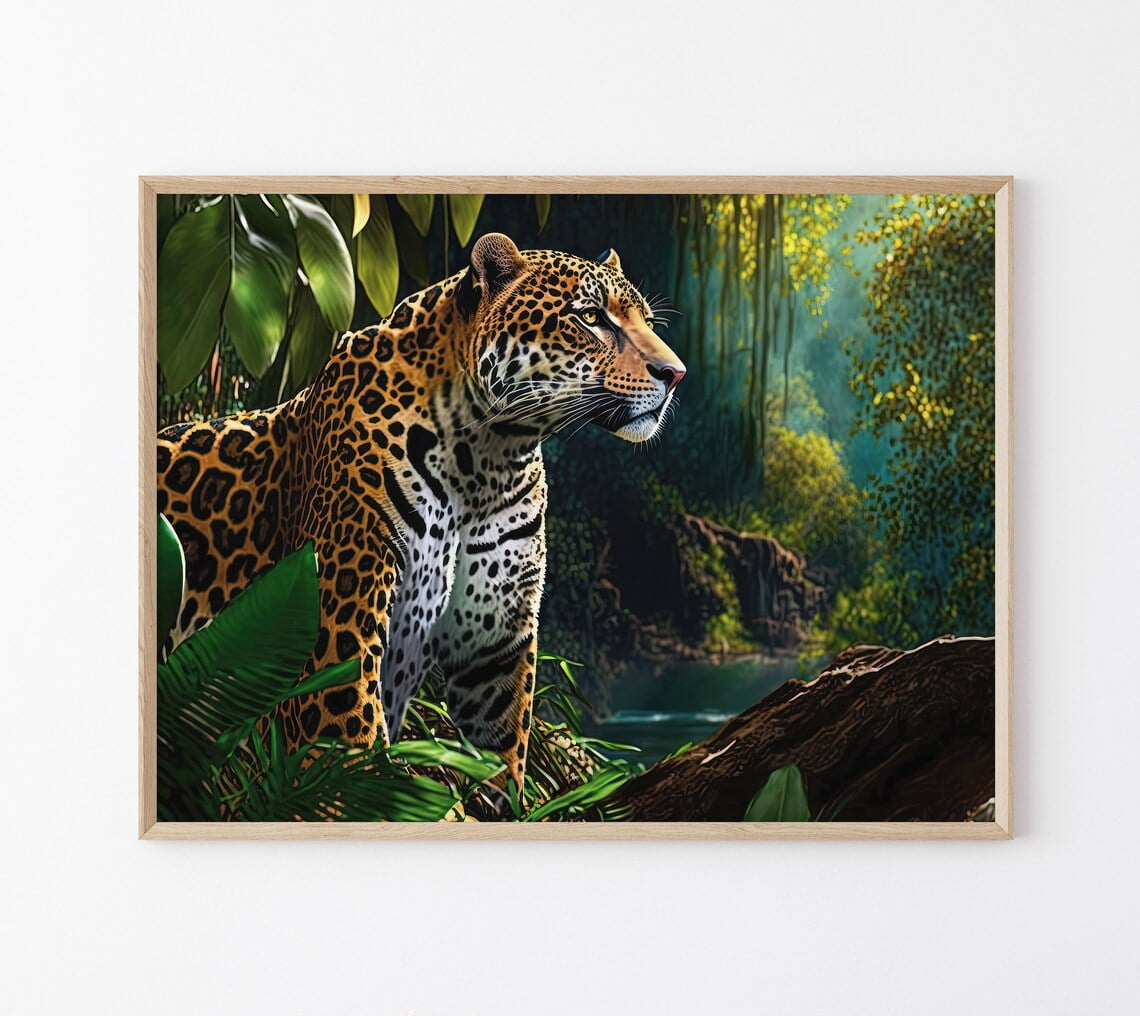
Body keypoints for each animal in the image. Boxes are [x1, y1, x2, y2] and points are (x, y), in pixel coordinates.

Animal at [157, 232, 686, 789]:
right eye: (590, 317)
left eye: (648, 321)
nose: (675, 374)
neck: (488, 455)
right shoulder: (335, 625)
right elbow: (353, 753)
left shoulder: (495, 636)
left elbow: (502, 755)